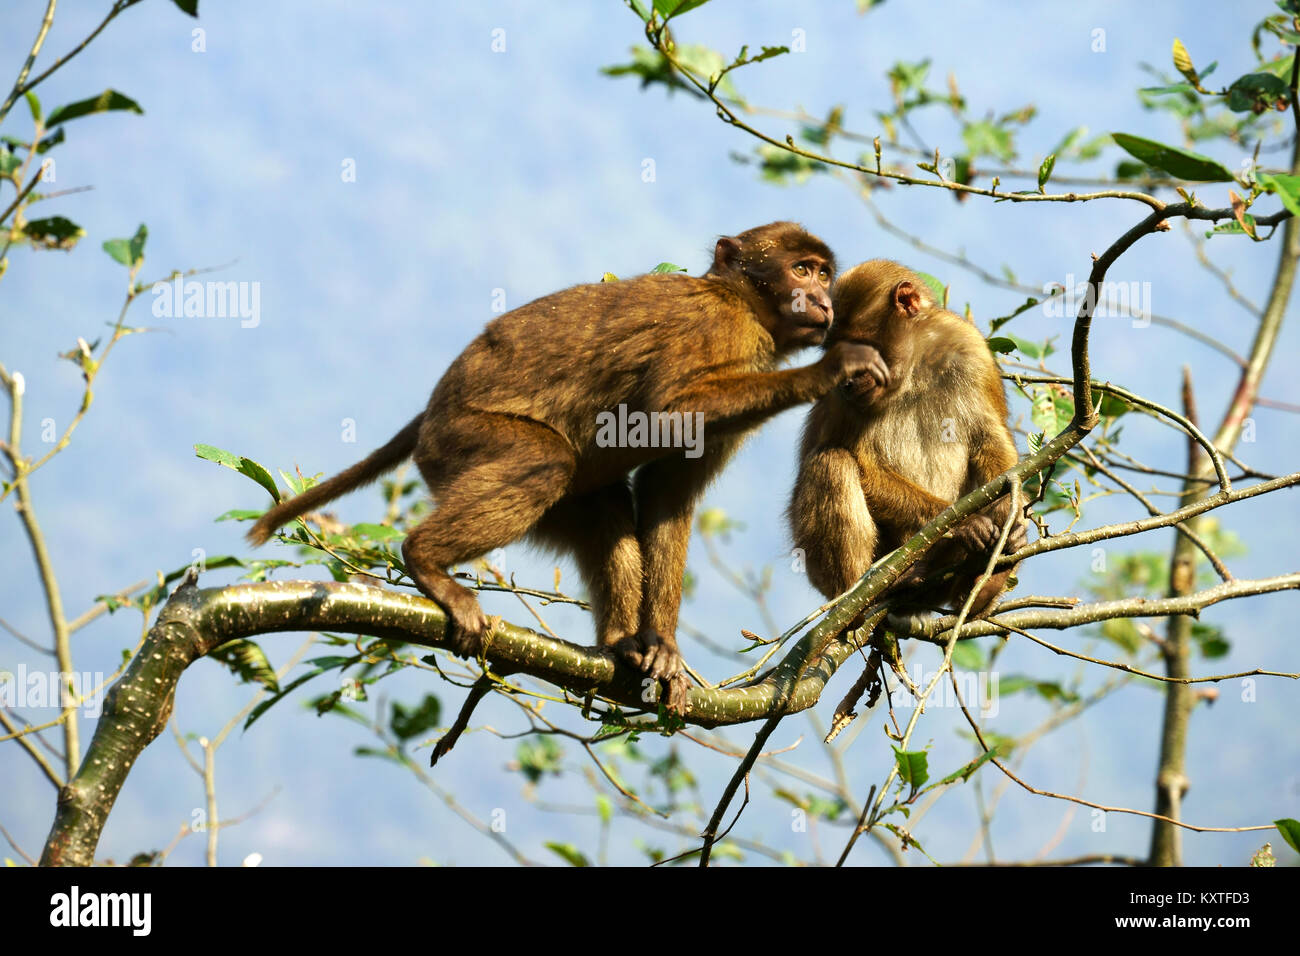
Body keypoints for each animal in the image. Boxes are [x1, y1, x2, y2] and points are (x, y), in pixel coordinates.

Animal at [246, 222, 889, 712]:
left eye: (824, 273)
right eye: (801, 270)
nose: (824, 301)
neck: (744, 303)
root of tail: (430, 412)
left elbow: (668, 493)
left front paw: (662, 645)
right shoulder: (717, 329)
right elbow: (667, 410)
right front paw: (829, 369)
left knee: (602, 503)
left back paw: (622, 644)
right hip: (458, 440)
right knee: (546, 461)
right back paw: (425, 560)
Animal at [789, 258, 1026, 626]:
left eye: (861, 345)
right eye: (843, 354)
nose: (848, 382)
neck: (915, 364)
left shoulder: (967, 346)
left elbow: (989, 435)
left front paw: (1008, 515)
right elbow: (862, 464)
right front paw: (964, 522)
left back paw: (983, 583)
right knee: (830, 461)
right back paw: (860, 598)